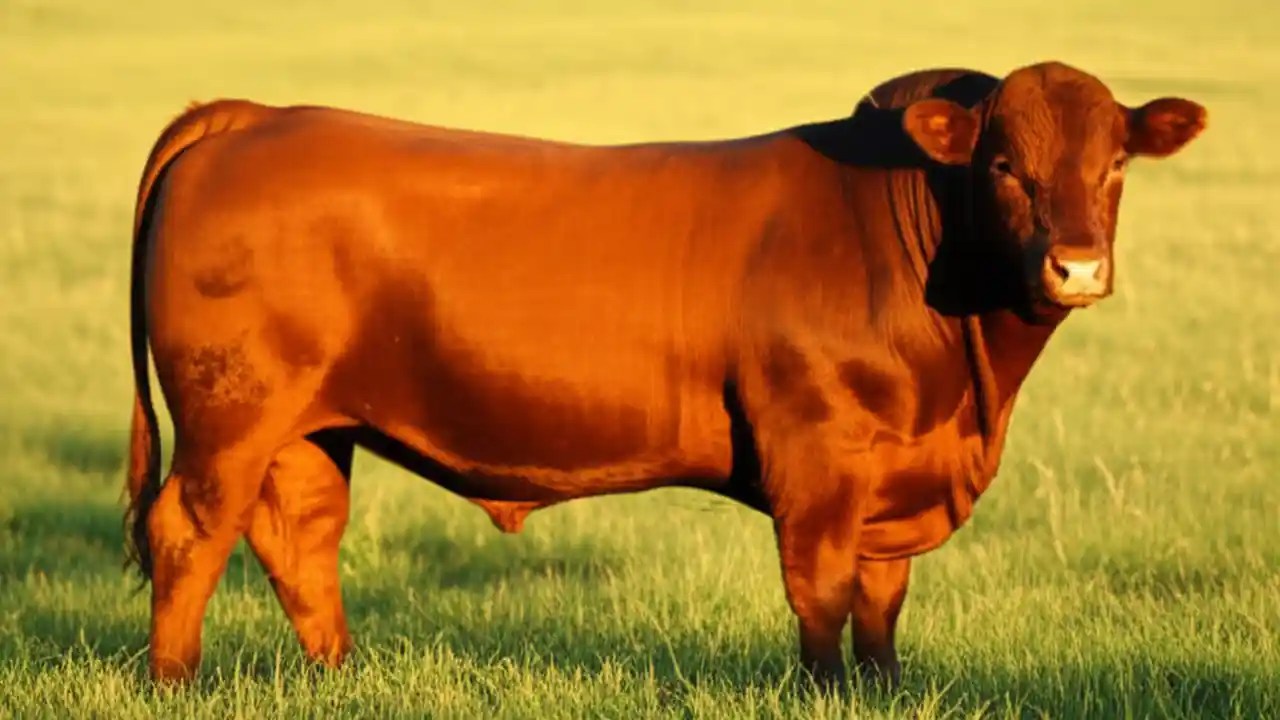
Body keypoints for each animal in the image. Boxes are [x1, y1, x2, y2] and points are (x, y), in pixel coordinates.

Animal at [124, 61, 1206, 686]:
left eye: (1115, 165)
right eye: (1002, 166)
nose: (1077, 266)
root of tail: (256, 117)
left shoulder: (895, 470)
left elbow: (880, 603)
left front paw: (882, 692)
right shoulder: (817, 452)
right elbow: (820, 594)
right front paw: (827, 695)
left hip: (309, 424)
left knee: (299, 537)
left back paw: (341, 679)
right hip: (231, 413)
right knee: (192, 531)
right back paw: (174, 683)